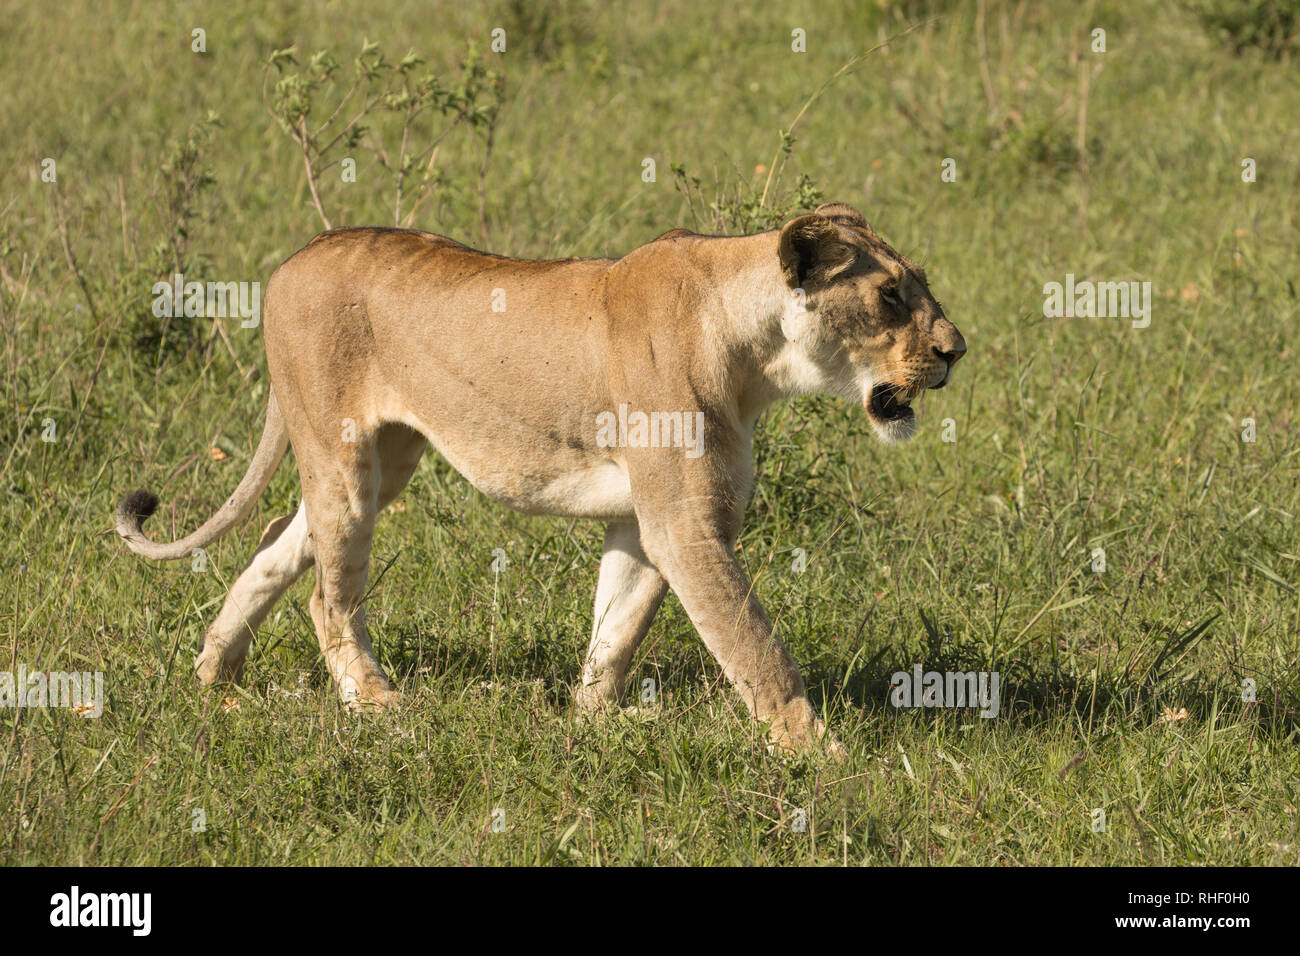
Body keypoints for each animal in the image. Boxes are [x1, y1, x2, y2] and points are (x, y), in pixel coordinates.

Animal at [115, 202, 965, 752]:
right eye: (891, 295)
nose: (957, 350)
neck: (758, 358)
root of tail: (293, 258)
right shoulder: (685, 523)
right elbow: (754, 644)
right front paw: (821, 755)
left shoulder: (647, 521)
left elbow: (617, 626)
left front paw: (592, 722)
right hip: (343, 458)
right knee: (329, 596)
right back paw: (375, 705)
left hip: (386, 460)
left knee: (273, 545)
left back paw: (215, 674)